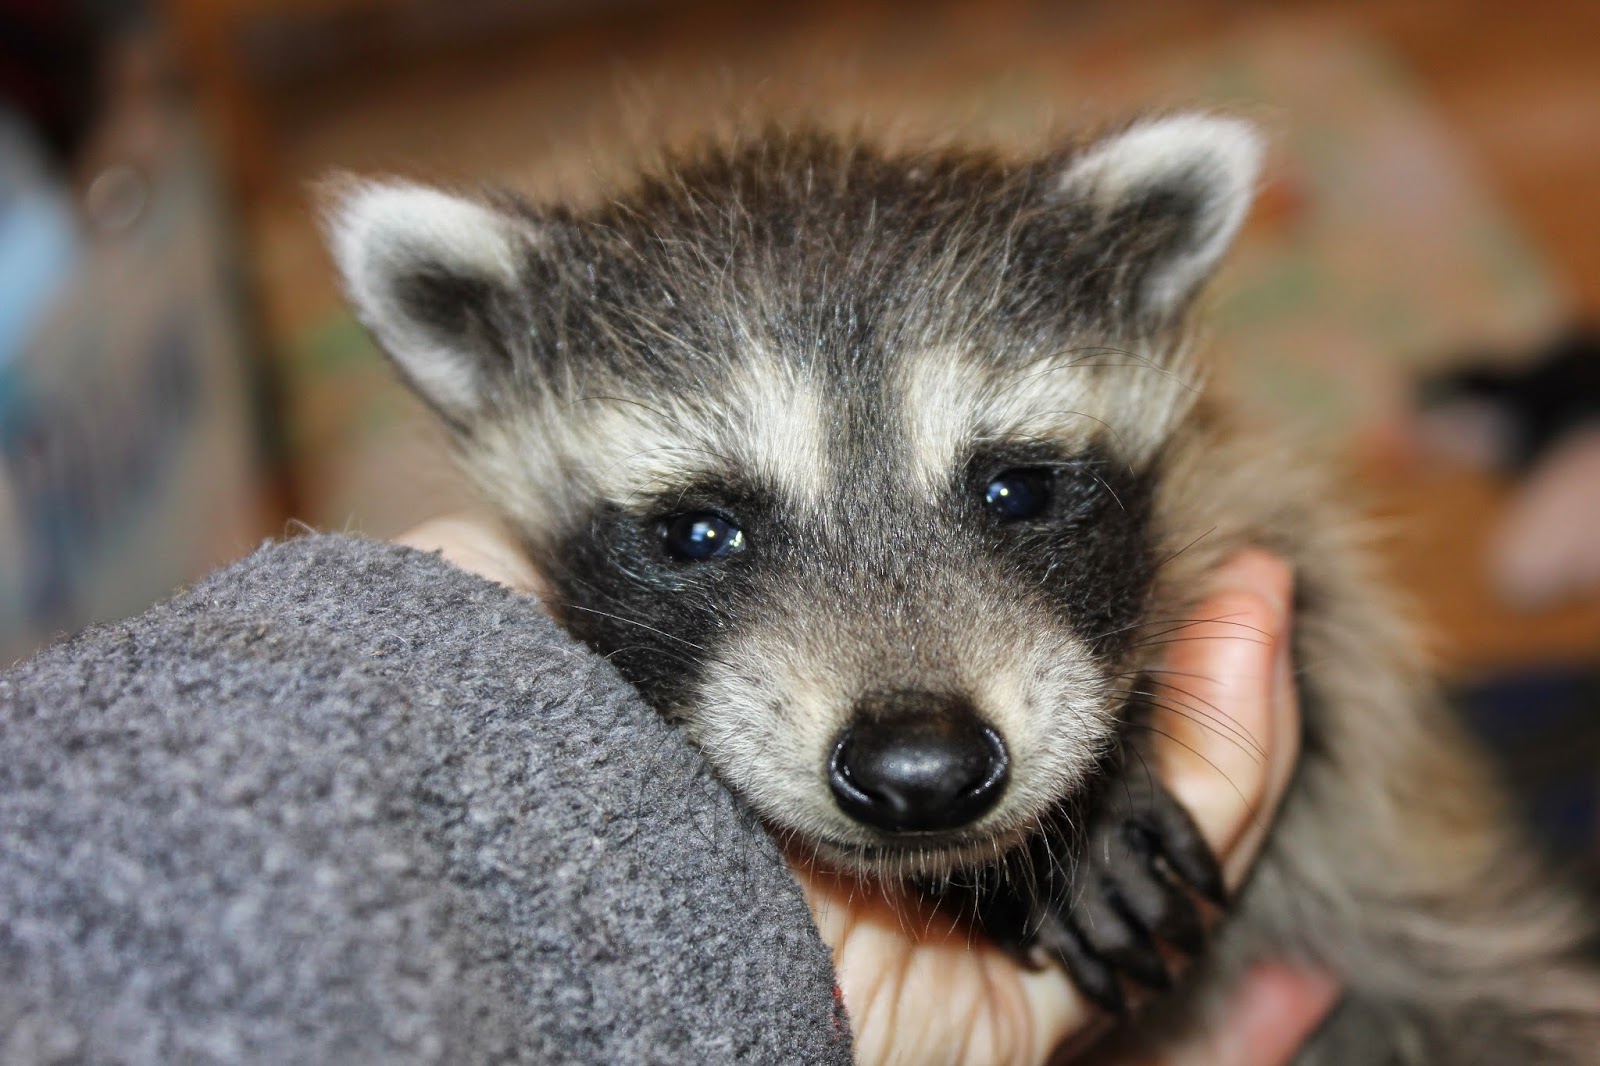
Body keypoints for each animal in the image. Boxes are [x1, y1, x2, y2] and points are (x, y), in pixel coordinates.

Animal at [325, 115, 1600, 1063]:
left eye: (1016, 489)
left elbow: (1337, 655)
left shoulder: (1270, 517)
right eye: (697, 529)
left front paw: (1097, 791)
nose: (921, 770)